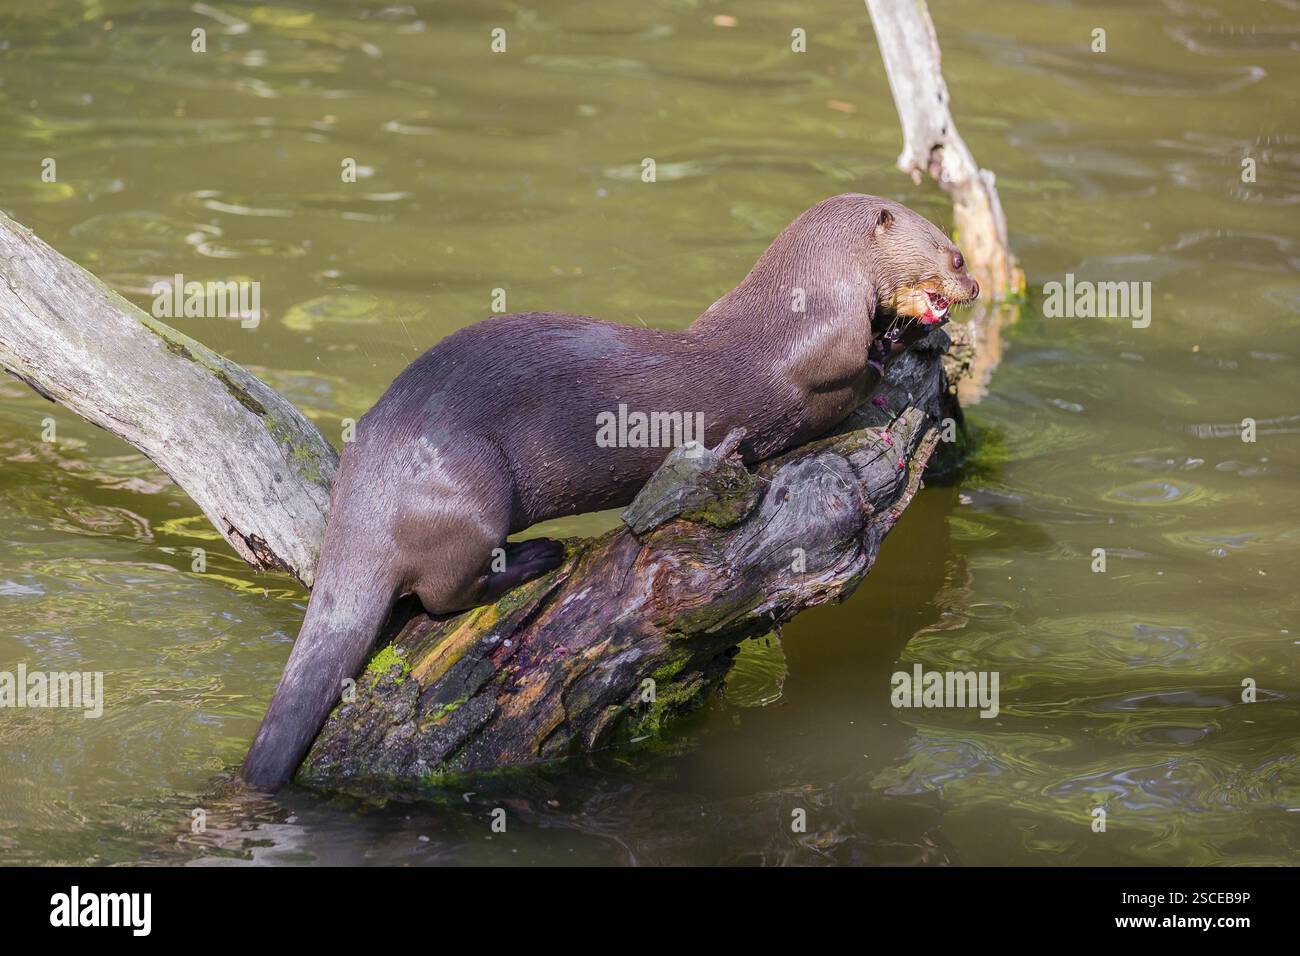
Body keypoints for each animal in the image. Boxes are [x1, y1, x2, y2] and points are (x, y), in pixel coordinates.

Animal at [241, 193, 978, 790]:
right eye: (956, 252)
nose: (970, 285)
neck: (802, 302)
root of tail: (366, 494)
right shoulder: (821, 357)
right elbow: (858, 369)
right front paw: (899, 339)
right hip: (470, 489)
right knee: (441, 596)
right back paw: (540, 556)